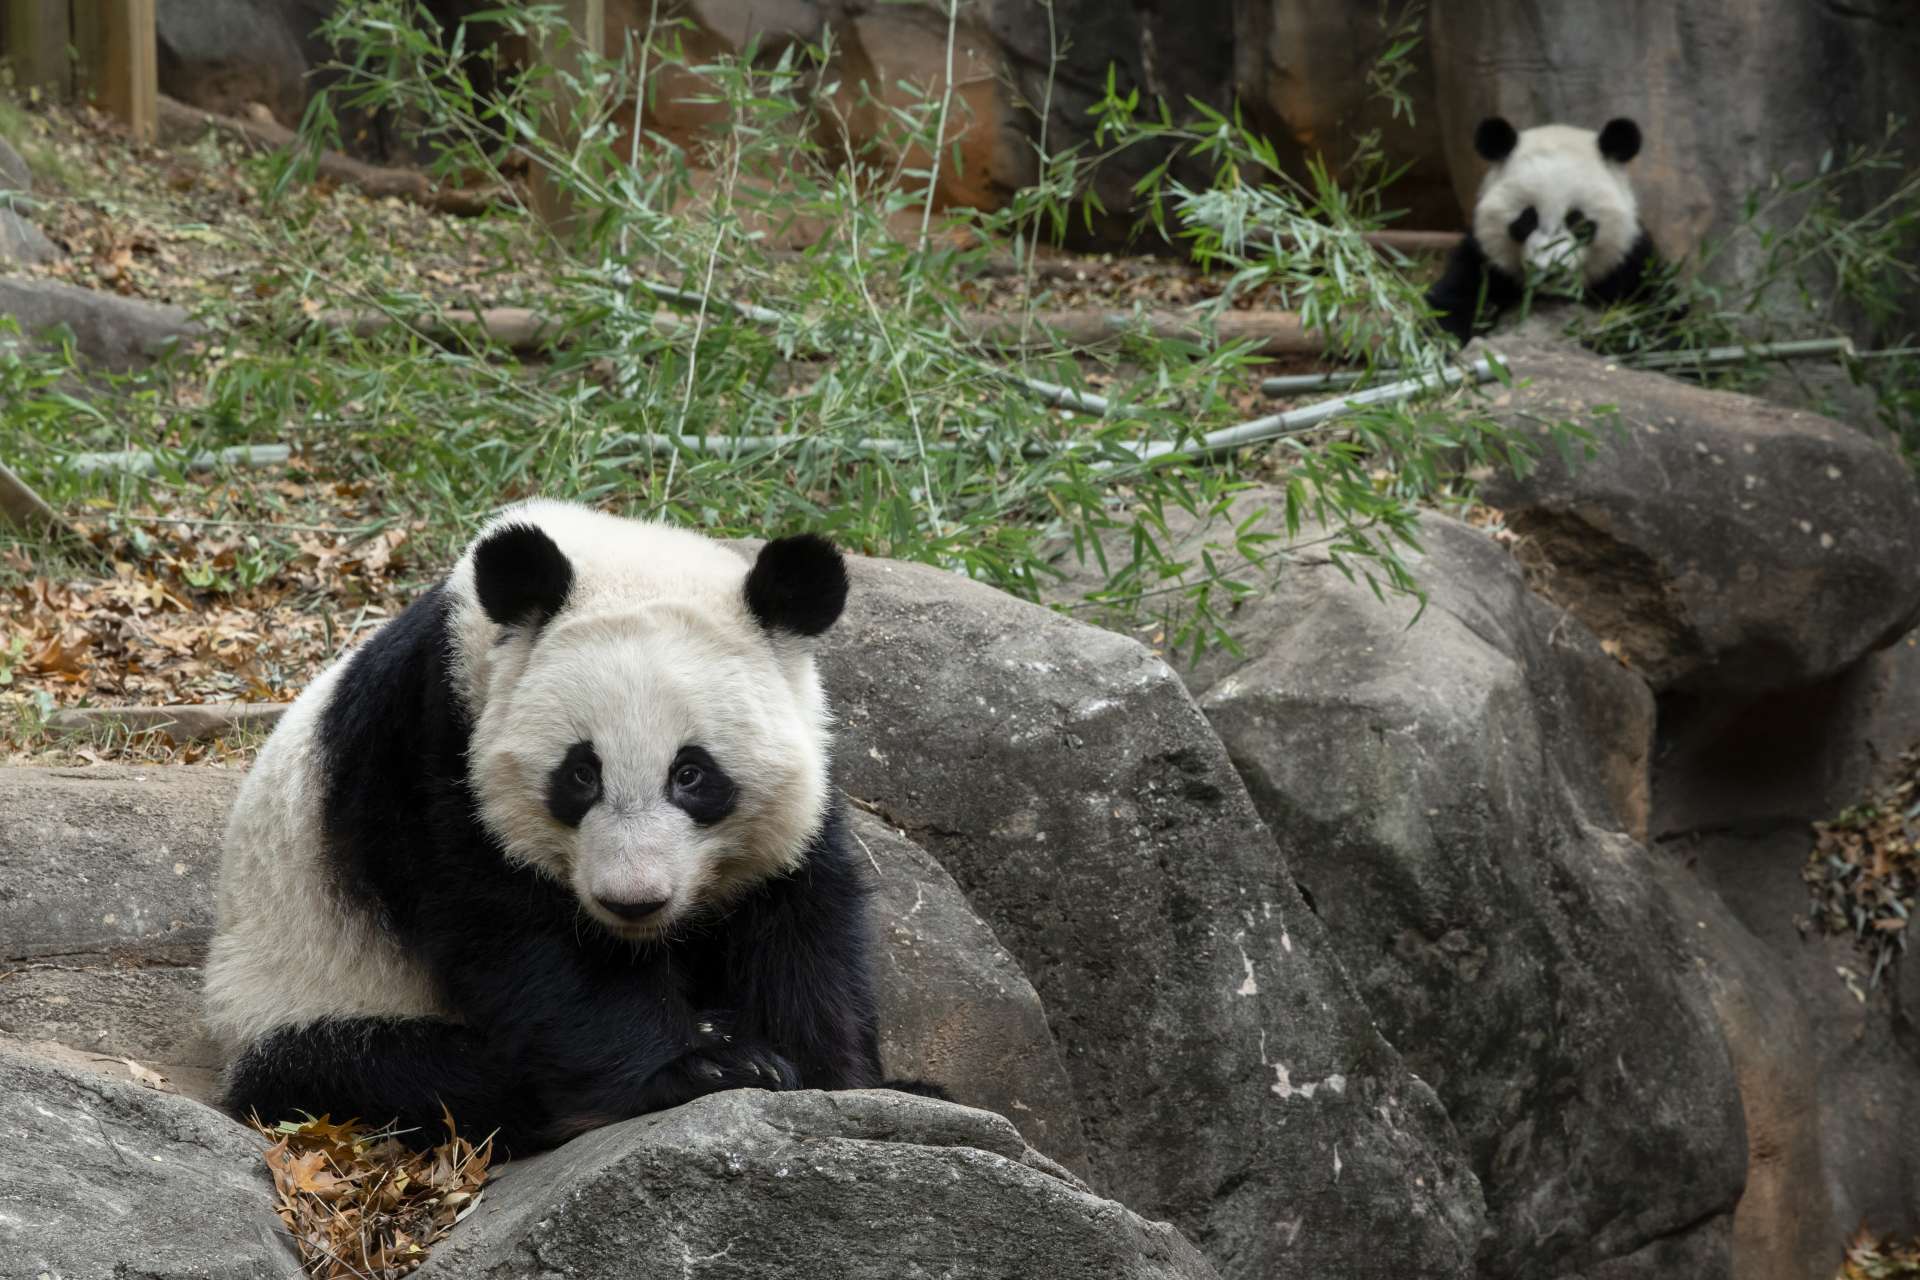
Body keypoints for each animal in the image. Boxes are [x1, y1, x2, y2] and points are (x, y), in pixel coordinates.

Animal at [203, 499, 930, 1152]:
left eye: (692, 775)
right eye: (581, 774)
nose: (633, 901)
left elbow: (798, 915)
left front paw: (844, 1080)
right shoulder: (433, 751)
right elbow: (523, 937)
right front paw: (708, 1066)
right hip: (310, 991)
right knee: (409, 1075)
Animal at [1426, 116, 1674, 344]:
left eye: (1577, 221)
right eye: (1527, 220)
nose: (1549, 270)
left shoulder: (1629, 262)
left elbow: (1661, 314)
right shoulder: (1483, 260)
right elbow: (1450, 304)